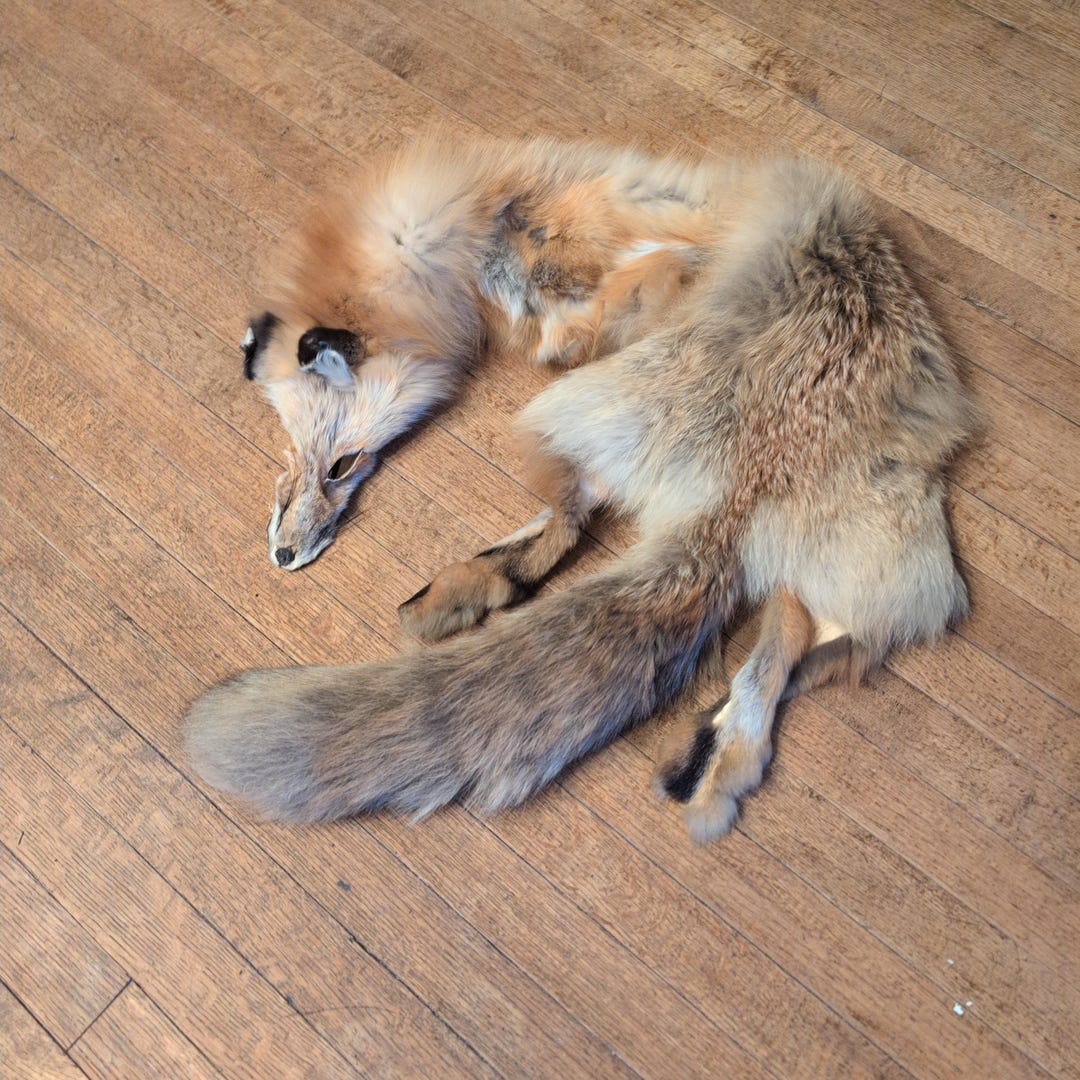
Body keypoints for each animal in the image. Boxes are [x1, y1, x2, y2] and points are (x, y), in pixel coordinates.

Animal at [188, 138, 975, 840]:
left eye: (343, 466)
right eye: (292, 460)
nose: (285, 555)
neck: (485, 231)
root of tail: (745, 474)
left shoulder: (624, 281)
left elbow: (617, 300)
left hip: (567, 414)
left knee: (586, 527)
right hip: (805, 560)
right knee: (783, 650)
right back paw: (713, 762)